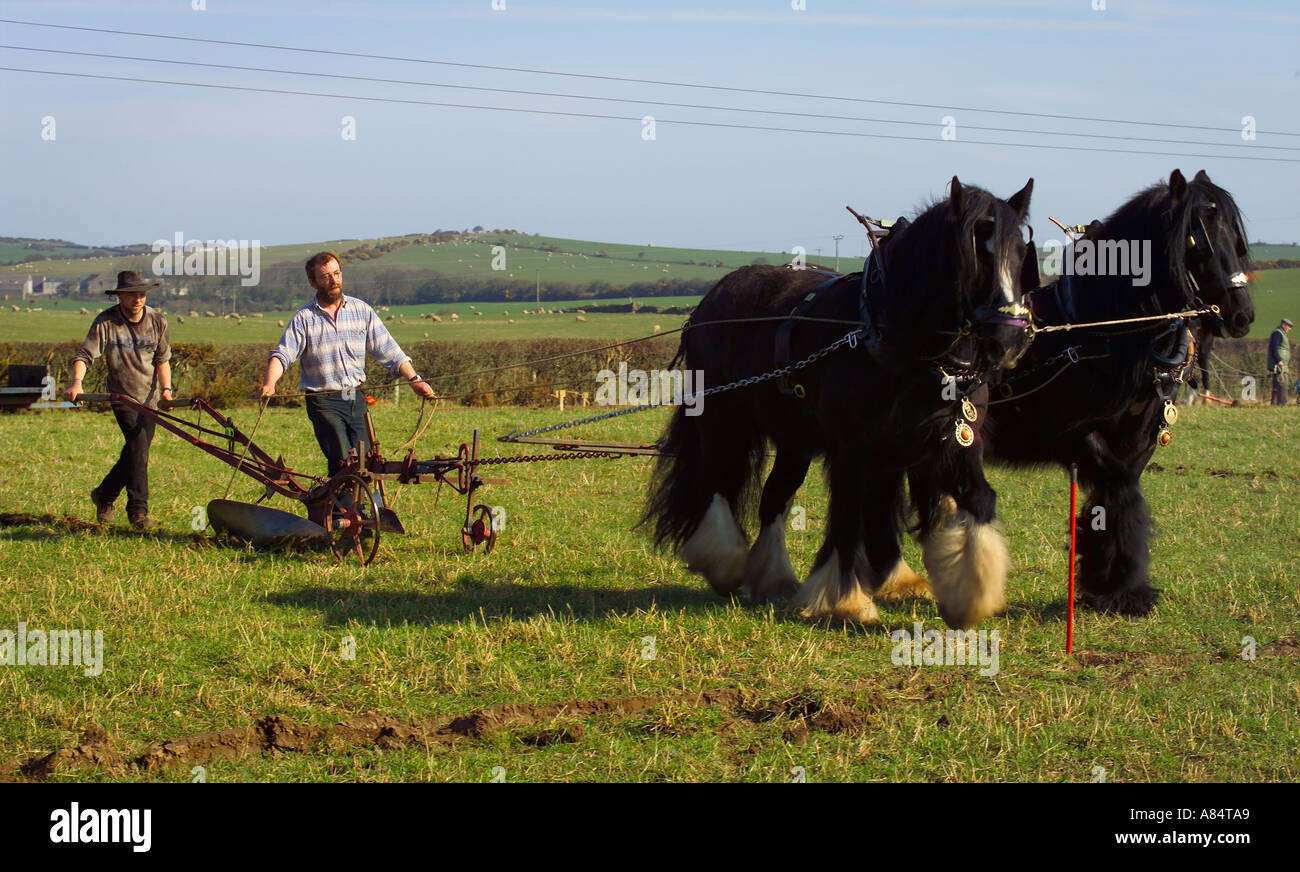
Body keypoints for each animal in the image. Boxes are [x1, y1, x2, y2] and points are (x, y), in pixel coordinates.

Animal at [643, 176, 1035, 628]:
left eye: (1020, 251)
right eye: (971, 253)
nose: (1009, 340)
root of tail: (712, 299)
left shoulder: (946, 444)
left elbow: (975, 500)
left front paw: (964, 599)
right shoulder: (853, 448)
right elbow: (848, 516)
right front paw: (844, 600)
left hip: (794, 440)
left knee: (774, 497)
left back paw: (775, 579)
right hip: (724, 421)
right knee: (718, 482)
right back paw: (724, 563)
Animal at [913, 169, 1253, 617]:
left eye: (1236, 236)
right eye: (1197, 239)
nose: (1242, 314)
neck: (1103, 331)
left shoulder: (1139, 441)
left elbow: (1116, 498)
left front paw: (1116, 587)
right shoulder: (1074, 436)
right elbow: (1120, 489)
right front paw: (1122, 585)